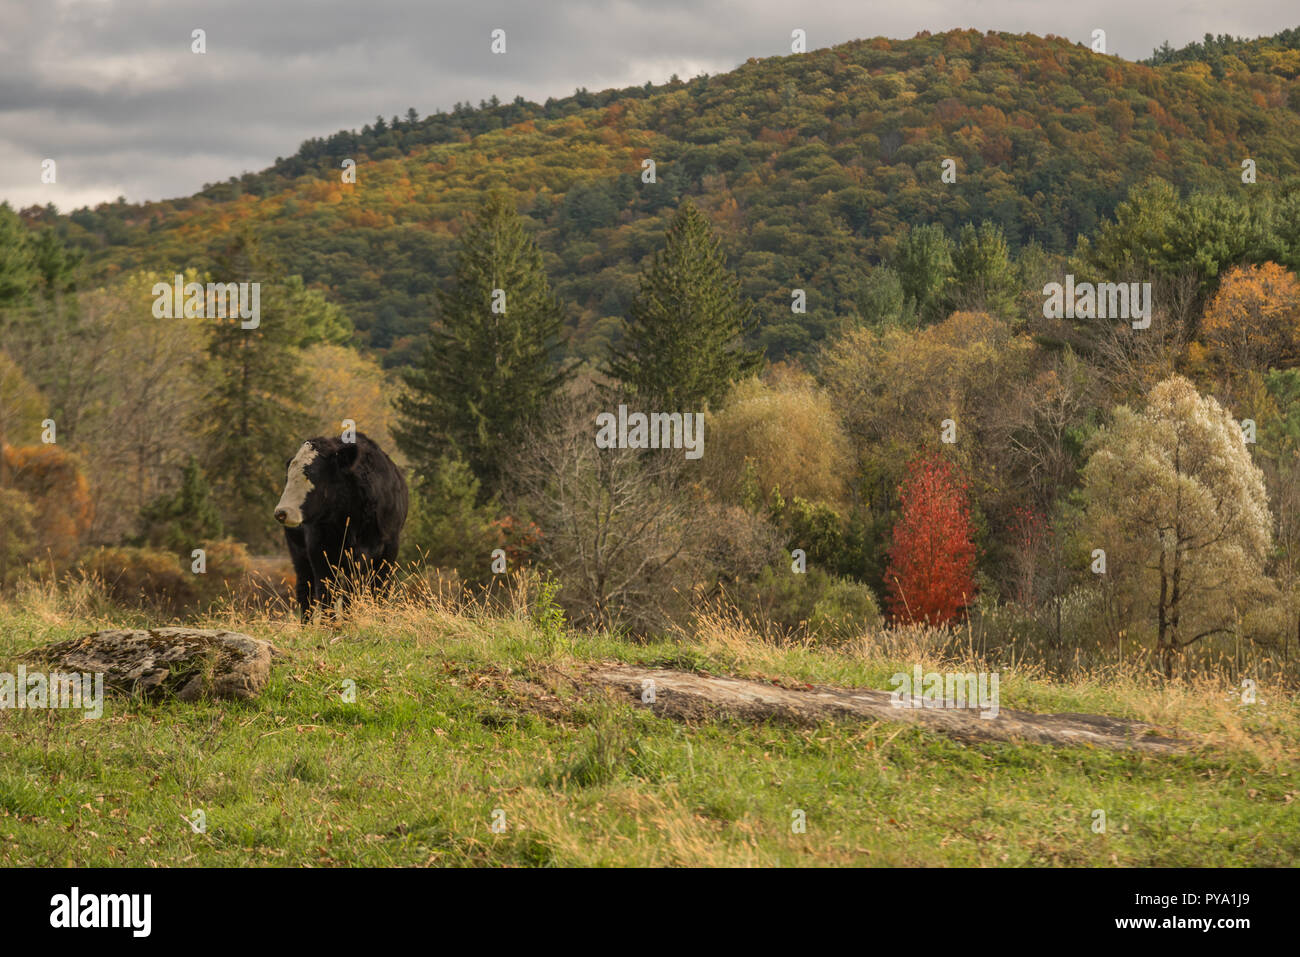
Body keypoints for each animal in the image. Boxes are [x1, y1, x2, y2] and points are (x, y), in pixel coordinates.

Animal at [273, 432, 409, 621]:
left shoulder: (388, 550)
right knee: (305, 592)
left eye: (311, 474)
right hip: (298, 553)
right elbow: (327, 593)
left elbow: (377, 592)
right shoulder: (318, 549)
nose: (282, 512)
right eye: (289, 477)